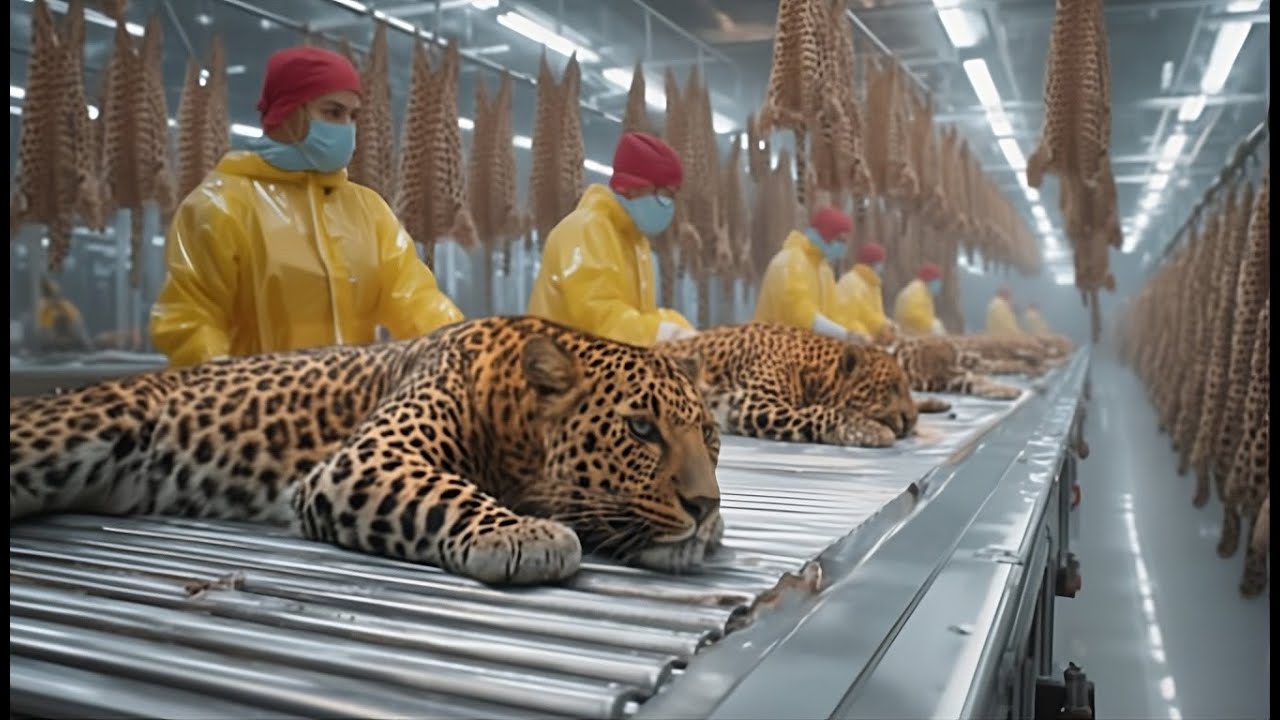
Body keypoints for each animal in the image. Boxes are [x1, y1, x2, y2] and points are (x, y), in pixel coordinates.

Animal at [9, 316, 724, 587]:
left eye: (711, 436)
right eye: (641, 429)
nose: (706, 506)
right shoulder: (367, 458)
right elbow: (447, 492)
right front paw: (522, 533)